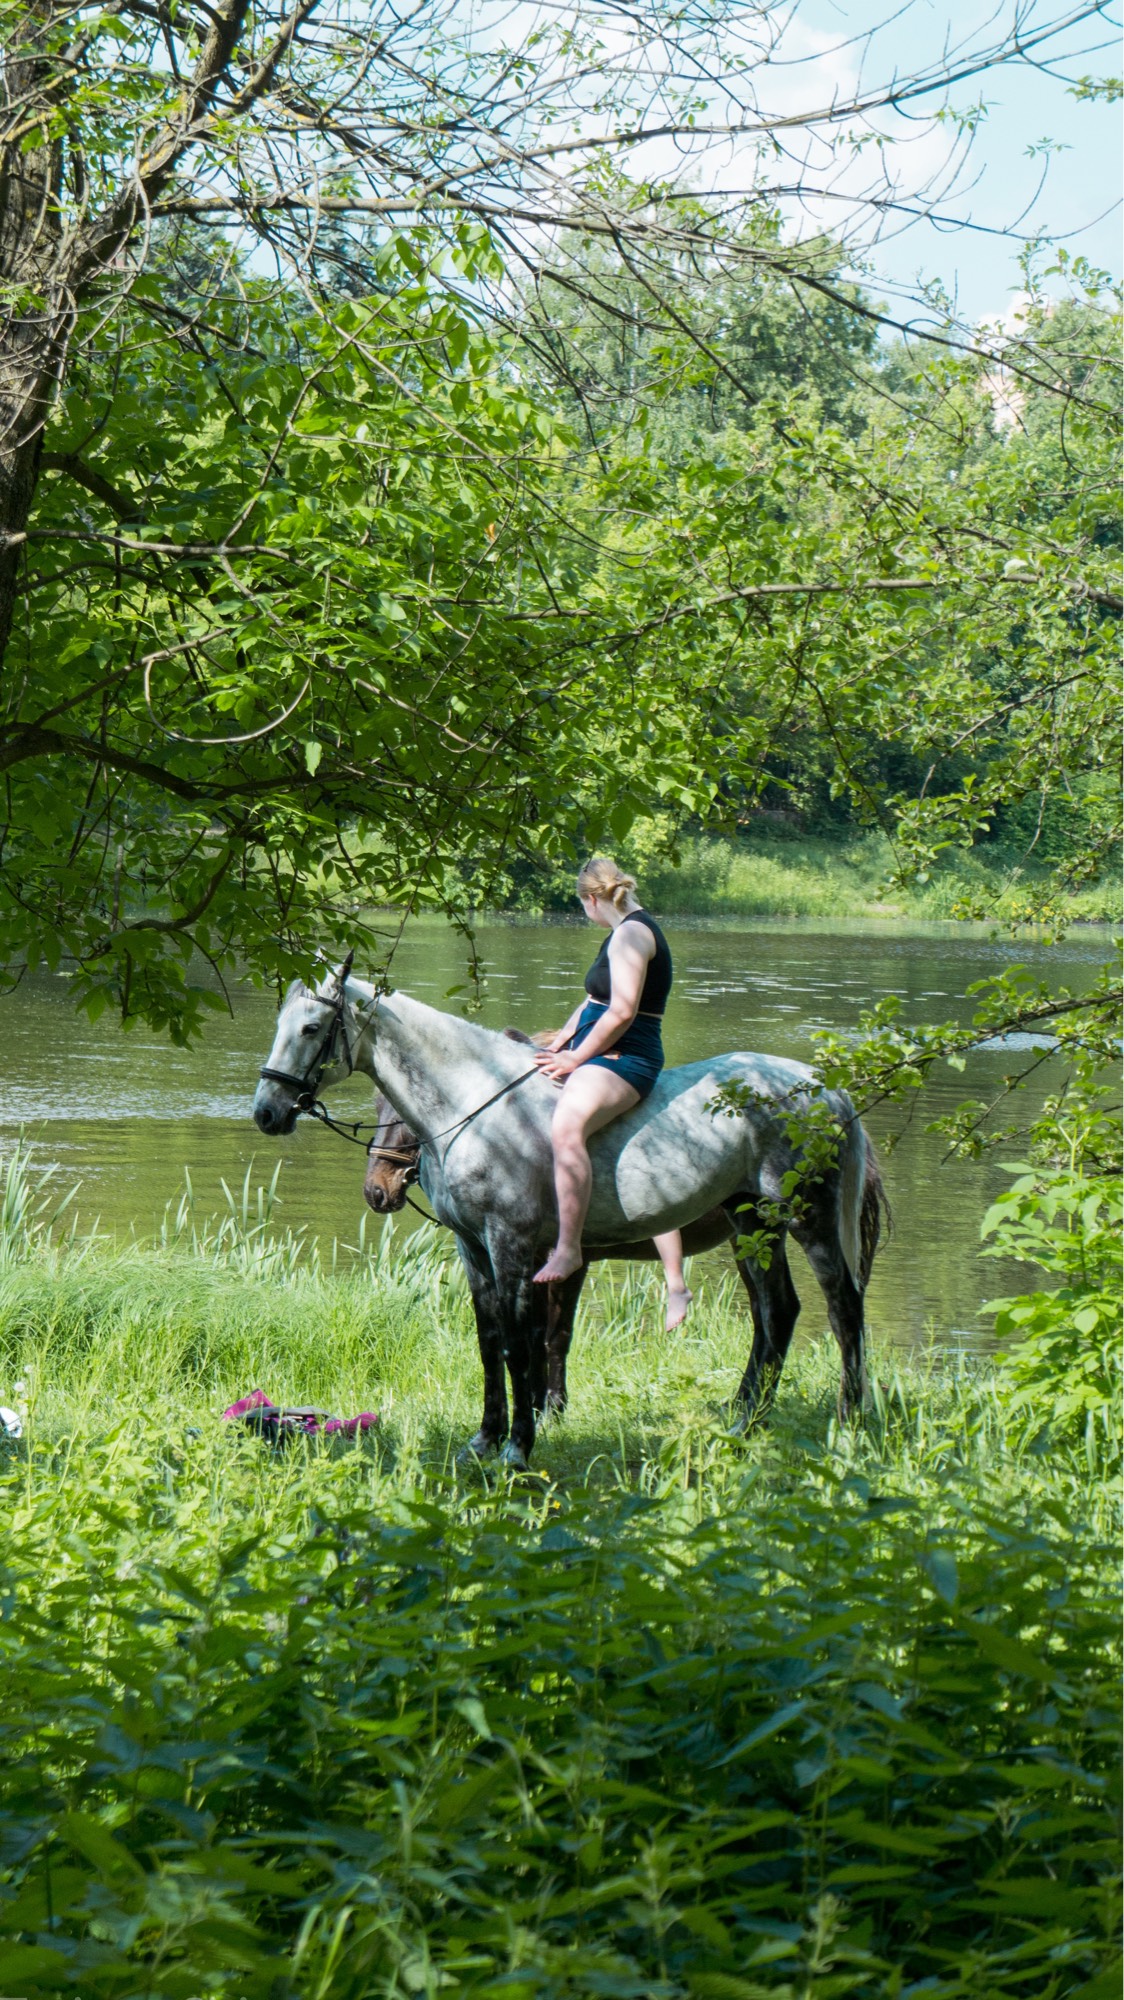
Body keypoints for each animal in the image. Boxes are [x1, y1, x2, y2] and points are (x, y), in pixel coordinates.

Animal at [254, 956, 884, 1472]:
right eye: (280, 1025)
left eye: (311, 1028)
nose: (267, 1112)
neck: (479, 1106)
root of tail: (823, 1089)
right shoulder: (474, 1249)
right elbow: (490, 1342)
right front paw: (485, 1439)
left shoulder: (515, 1247)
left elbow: (522, 1343)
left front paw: (518, 1447)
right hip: (752, 1226)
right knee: (777, 1312)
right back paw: (746, 1423)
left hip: (809, 1222)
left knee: (843, 1309)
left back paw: (849, 1423)